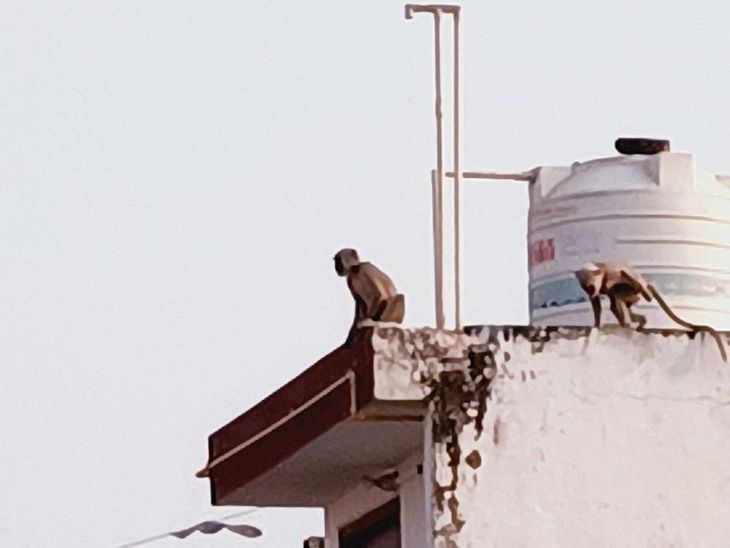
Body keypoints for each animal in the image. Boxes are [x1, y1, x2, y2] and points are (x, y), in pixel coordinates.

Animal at [575, 261, 727, 362]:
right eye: (586, 288)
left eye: (590, 287)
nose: (591, 292)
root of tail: (647, 285)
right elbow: (598, 306)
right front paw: (596, 326)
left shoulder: (609, 273)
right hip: (631, 298)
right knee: (620, 303)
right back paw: (639, 322)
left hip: (634, 291)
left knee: (624, 292)